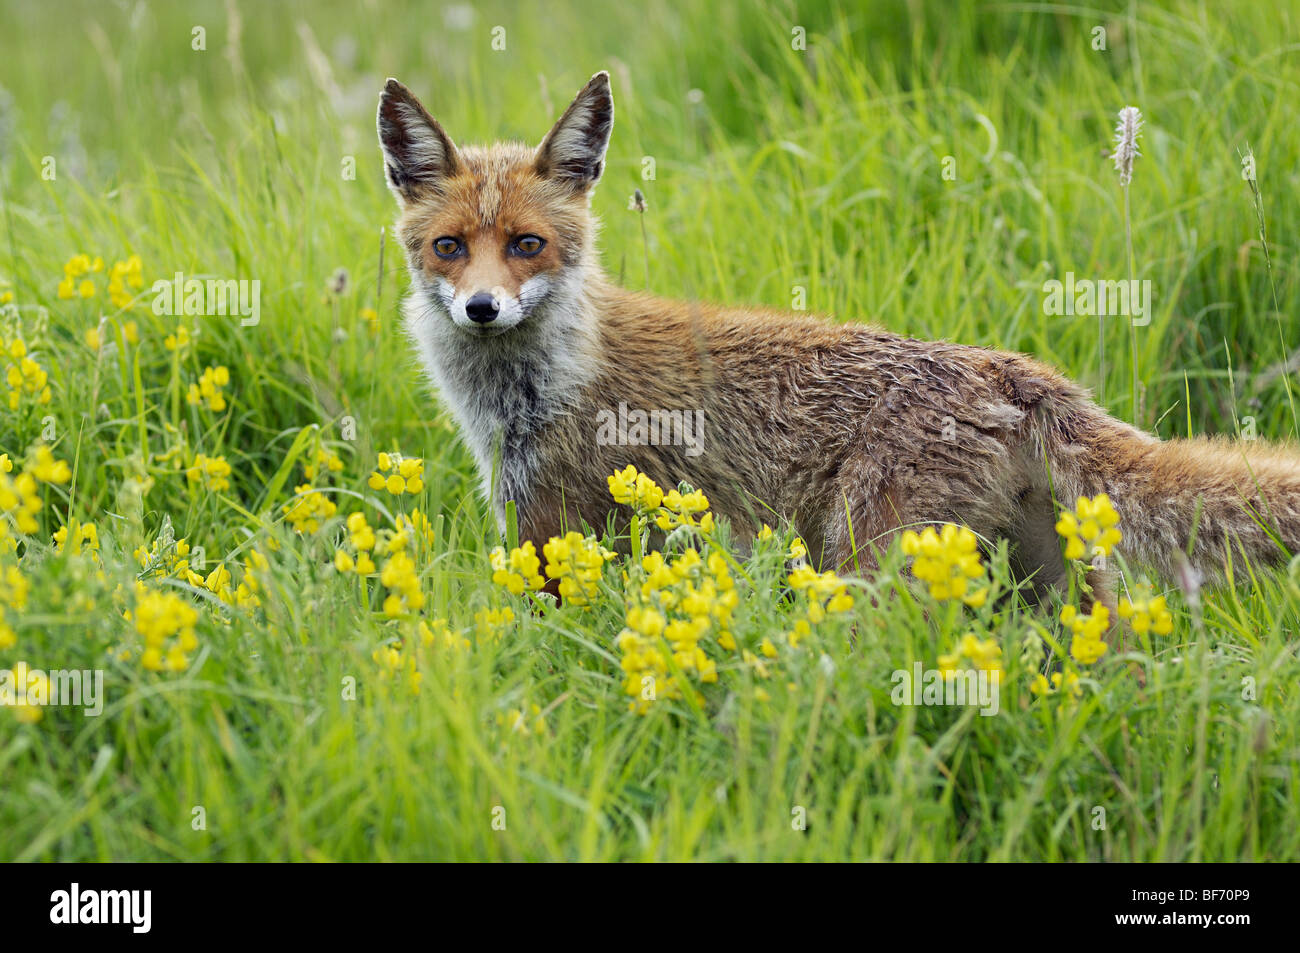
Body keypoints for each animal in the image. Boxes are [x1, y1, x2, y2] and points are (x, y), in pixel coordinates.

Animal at [377, 70, 1300, 613]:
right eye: (449, 248)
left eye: (527, 244)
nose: (483, 308)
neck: (541, 381)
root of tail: (1010, 370)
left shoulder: (549, 529)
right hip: (1055, 580)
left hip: (876, 562)